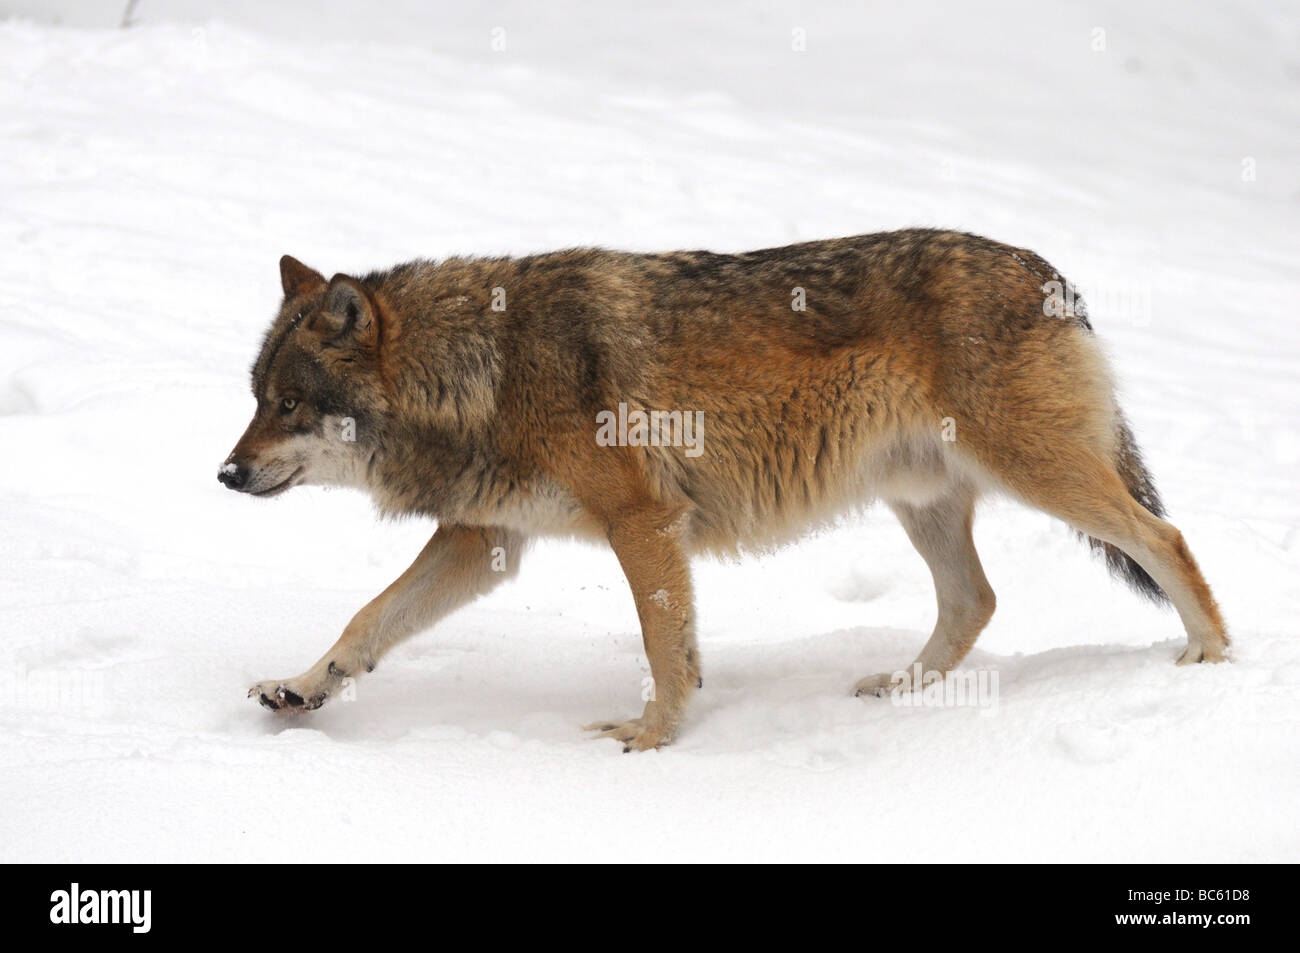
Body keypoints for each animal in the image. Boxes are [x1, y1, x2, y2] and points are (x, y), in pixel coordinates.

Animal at [219, 229, 1227, 750]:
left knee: (1165, 539)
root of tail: (1050, 272)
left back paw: (1209, 661)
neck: (485, 370)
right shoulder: (485, 540)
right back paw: (898, 691)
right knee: (974, 599)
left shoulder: (641, 521)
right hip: (921, 498)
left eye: (289, 403)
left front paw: (649, 737)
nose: (225, 472)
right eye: (256, 398)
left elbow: (666, 648)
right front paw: (299, 690)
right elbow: (366, 622)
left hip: (1034, 471)